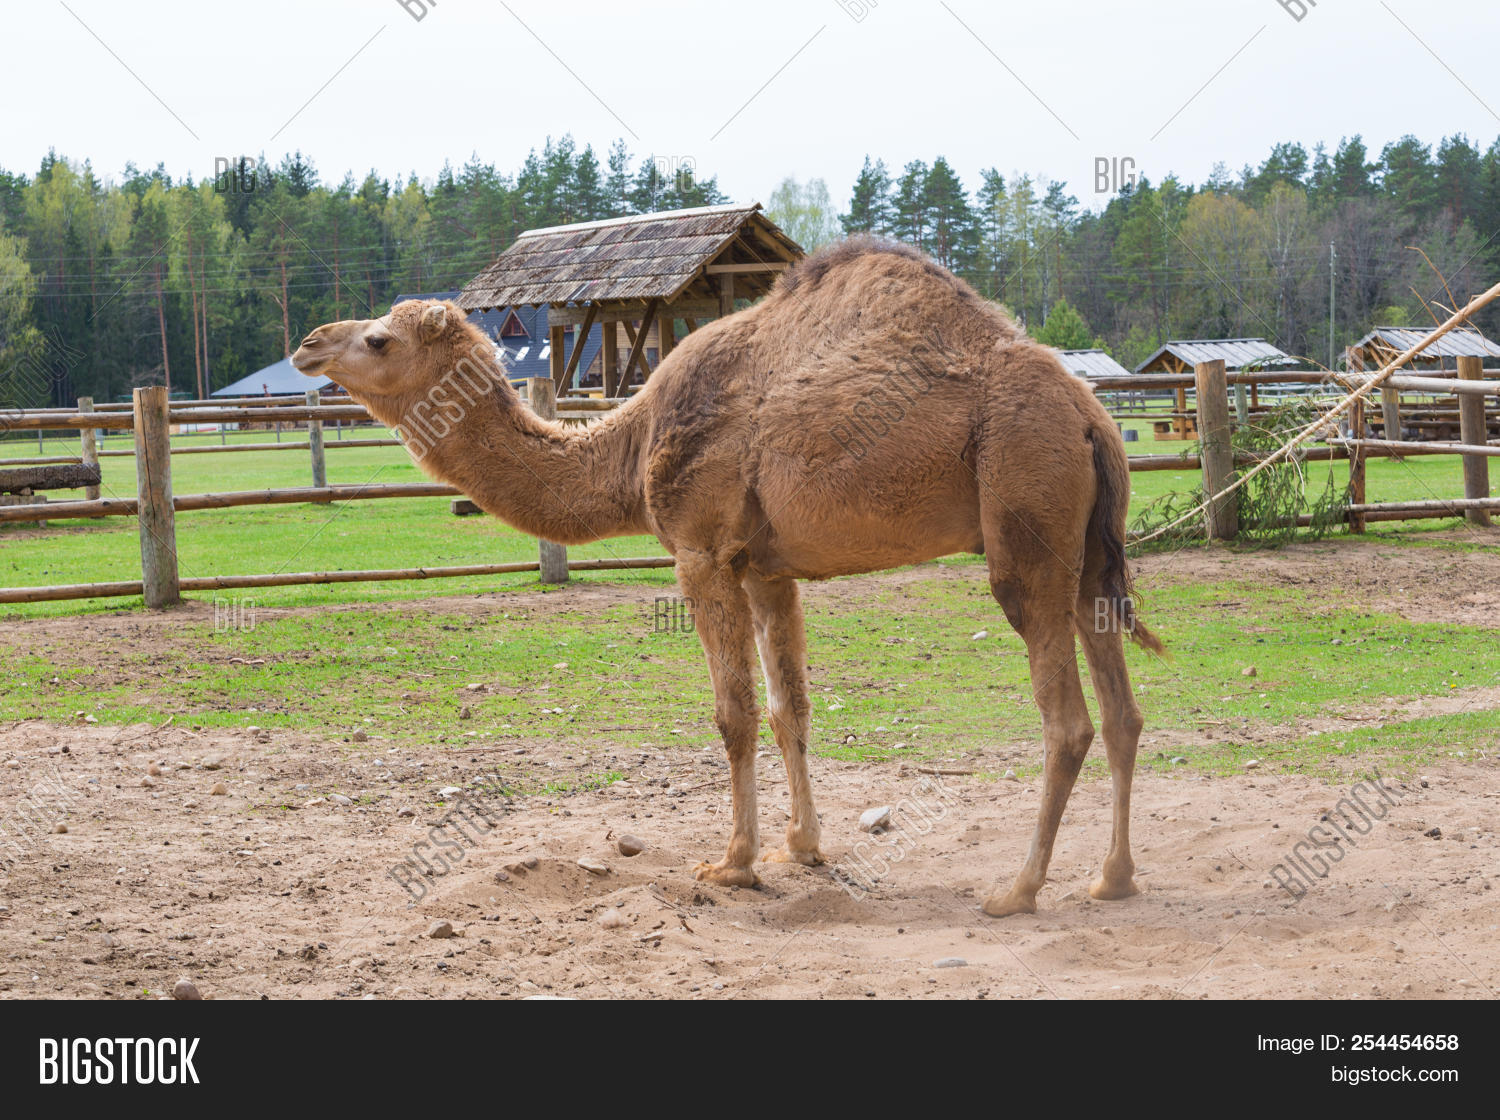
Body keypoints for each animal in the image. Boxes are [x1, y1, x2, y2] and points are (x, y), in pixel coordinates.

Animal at [291, 238, 1163, 917]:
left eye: (378, 339)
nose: (308, 341)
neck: (632, 443)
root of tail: (1092, 416)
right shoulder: (768, 567)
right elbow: (789, 707)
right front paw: (801, 848)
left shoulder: (701, 550)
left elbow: (733, 713)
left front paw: (732, 863)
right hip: (1090, 552)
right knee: (1123, 711)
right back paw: (1112, 879)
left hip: (1025, 518)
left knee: (1067, 718)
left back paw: (1017, 890)